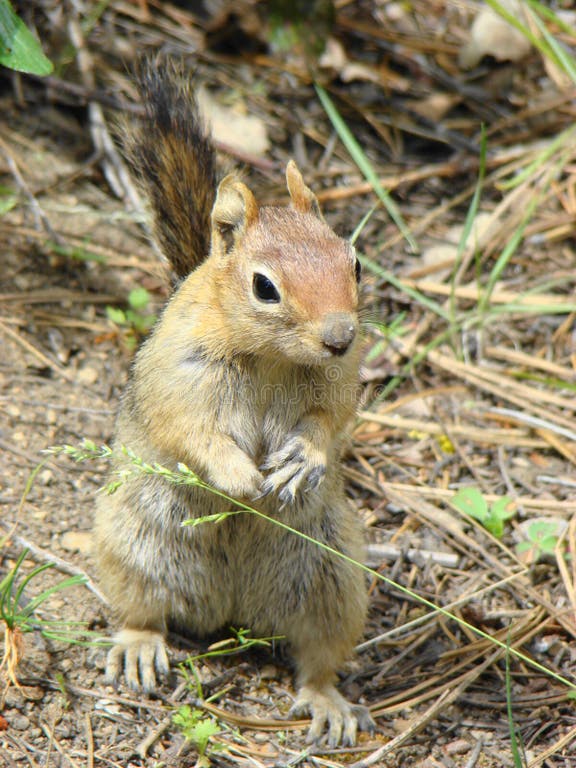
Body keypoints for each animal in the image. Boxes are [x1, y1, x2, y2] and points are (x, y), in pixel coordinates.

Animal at [94, 60, 373, 747]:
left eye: (354, 262)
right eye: (264, 287)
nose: (340, 336)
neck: (273, 358)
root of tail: (232, 610)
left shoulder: (339, 381)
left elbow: (331, 421)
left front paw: (303, 461)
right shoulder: (181, 378)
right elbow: (192, 429)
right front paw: (240, 478)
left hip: (333, 579)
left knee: (317, 657)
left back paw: (327, 703)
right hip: (132, 543)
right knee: (141, 610)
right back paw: (139, 648)